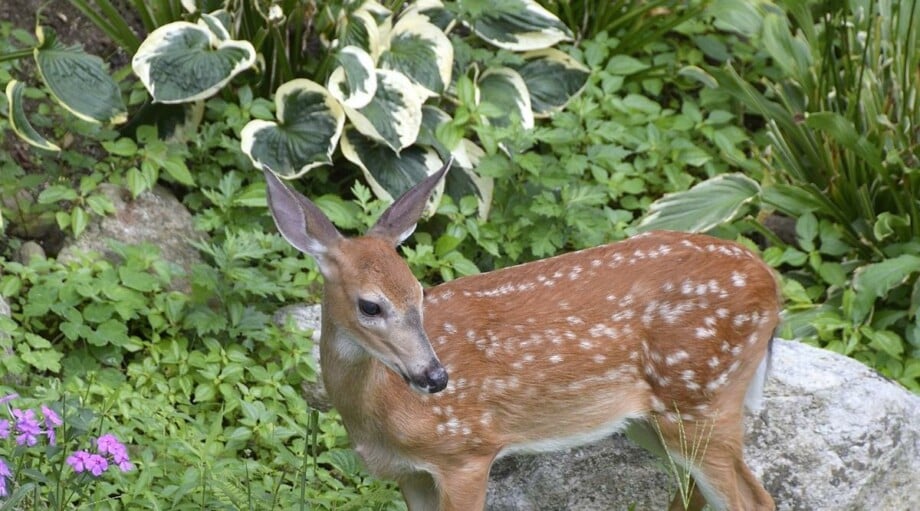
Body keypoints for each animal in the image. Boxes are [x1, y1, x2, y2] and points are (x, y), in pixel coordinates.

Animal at [264, 160, 778, 511]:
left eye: (419, 292)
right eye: (370, 305)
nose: (435, 377)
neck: (382, 410)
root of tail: (770, 283)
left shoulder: (467, 452)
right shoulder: (410, 473)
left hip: (701, 397)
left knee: (754, 500)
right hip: (654, 419)